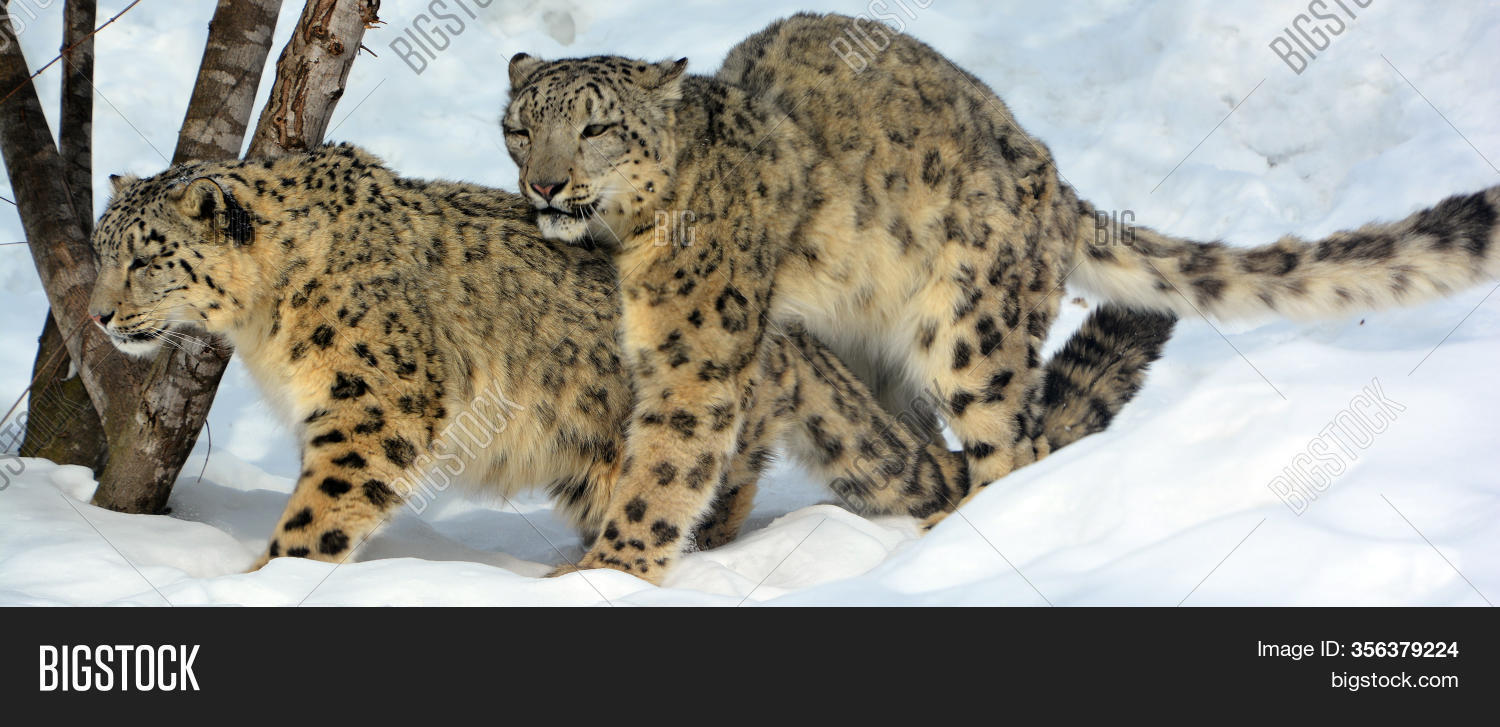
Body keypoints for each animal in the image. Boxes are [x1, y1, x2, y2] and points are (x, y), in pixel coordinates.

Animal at [86, 142, 1175, 577]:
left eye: (147, 255)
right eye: (100, 248)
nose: (95, 314)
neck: (266, 326)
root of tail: (791, 329)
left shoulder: (376, 403)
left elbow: (326, 504)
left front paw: (272, 576)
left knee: (706, 487)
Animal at [500, 11, 1500, 580]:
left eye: (596, 127)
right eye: (519, 127)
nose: (545, 184)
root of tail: (1050, 177)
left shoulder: (696, 356)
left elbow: (665, 462)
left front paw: (609, 570)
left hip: (972, 329)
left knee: (1007, 445)